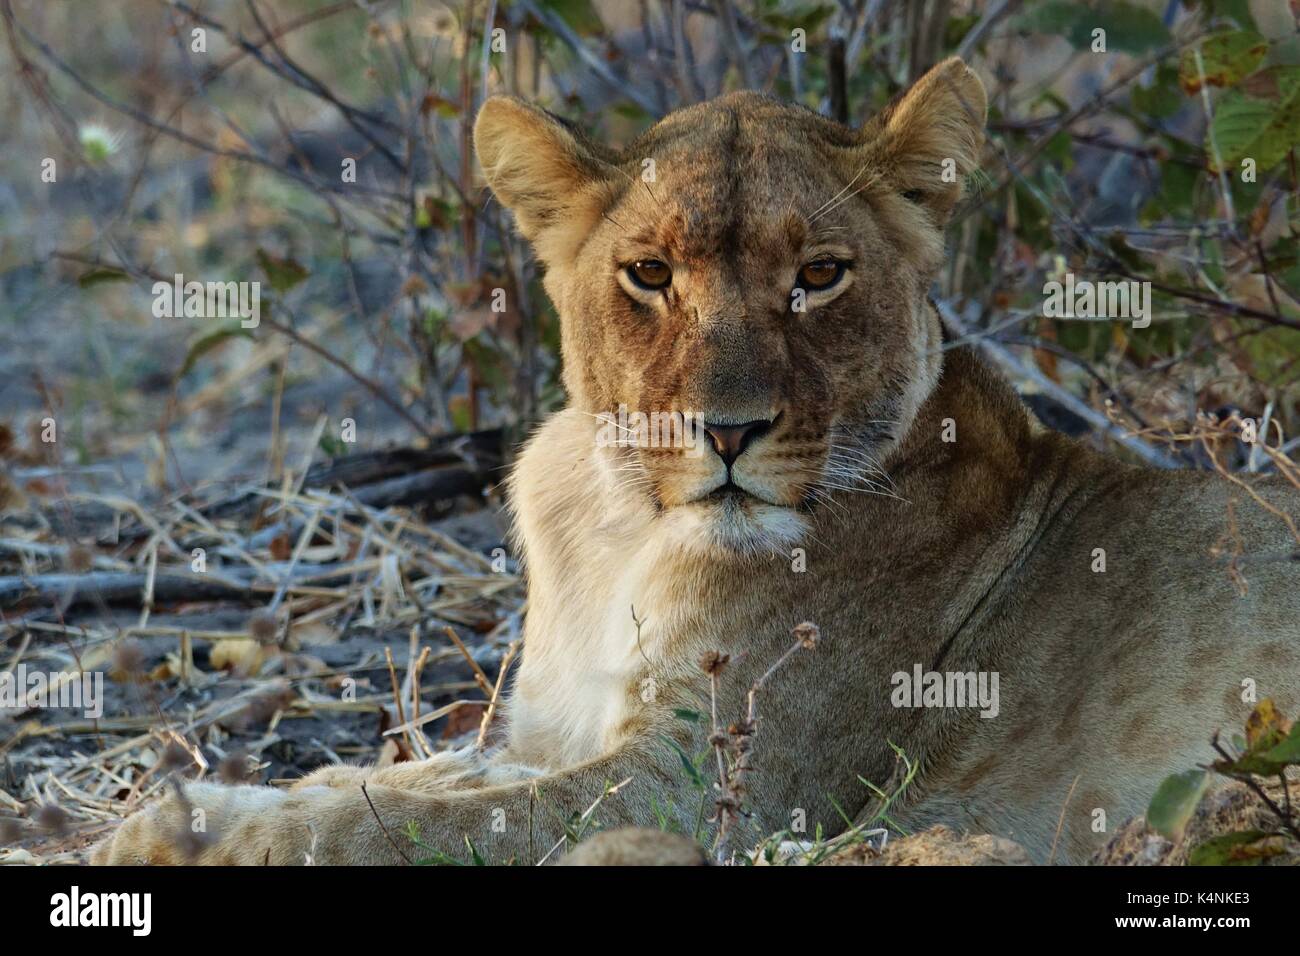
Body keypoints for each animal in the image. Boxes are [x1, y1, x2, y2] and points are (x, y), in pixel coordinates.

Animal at [93, 58, 1299, 866]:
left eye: (819, 275)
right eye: (648, 273)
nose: (727, 431)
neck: (617, 522)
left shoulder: (709, 792)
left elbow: (411, 822)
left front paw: (200, 836)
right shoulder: (551, 733)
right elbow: (413, 775)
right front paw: (168, 814)